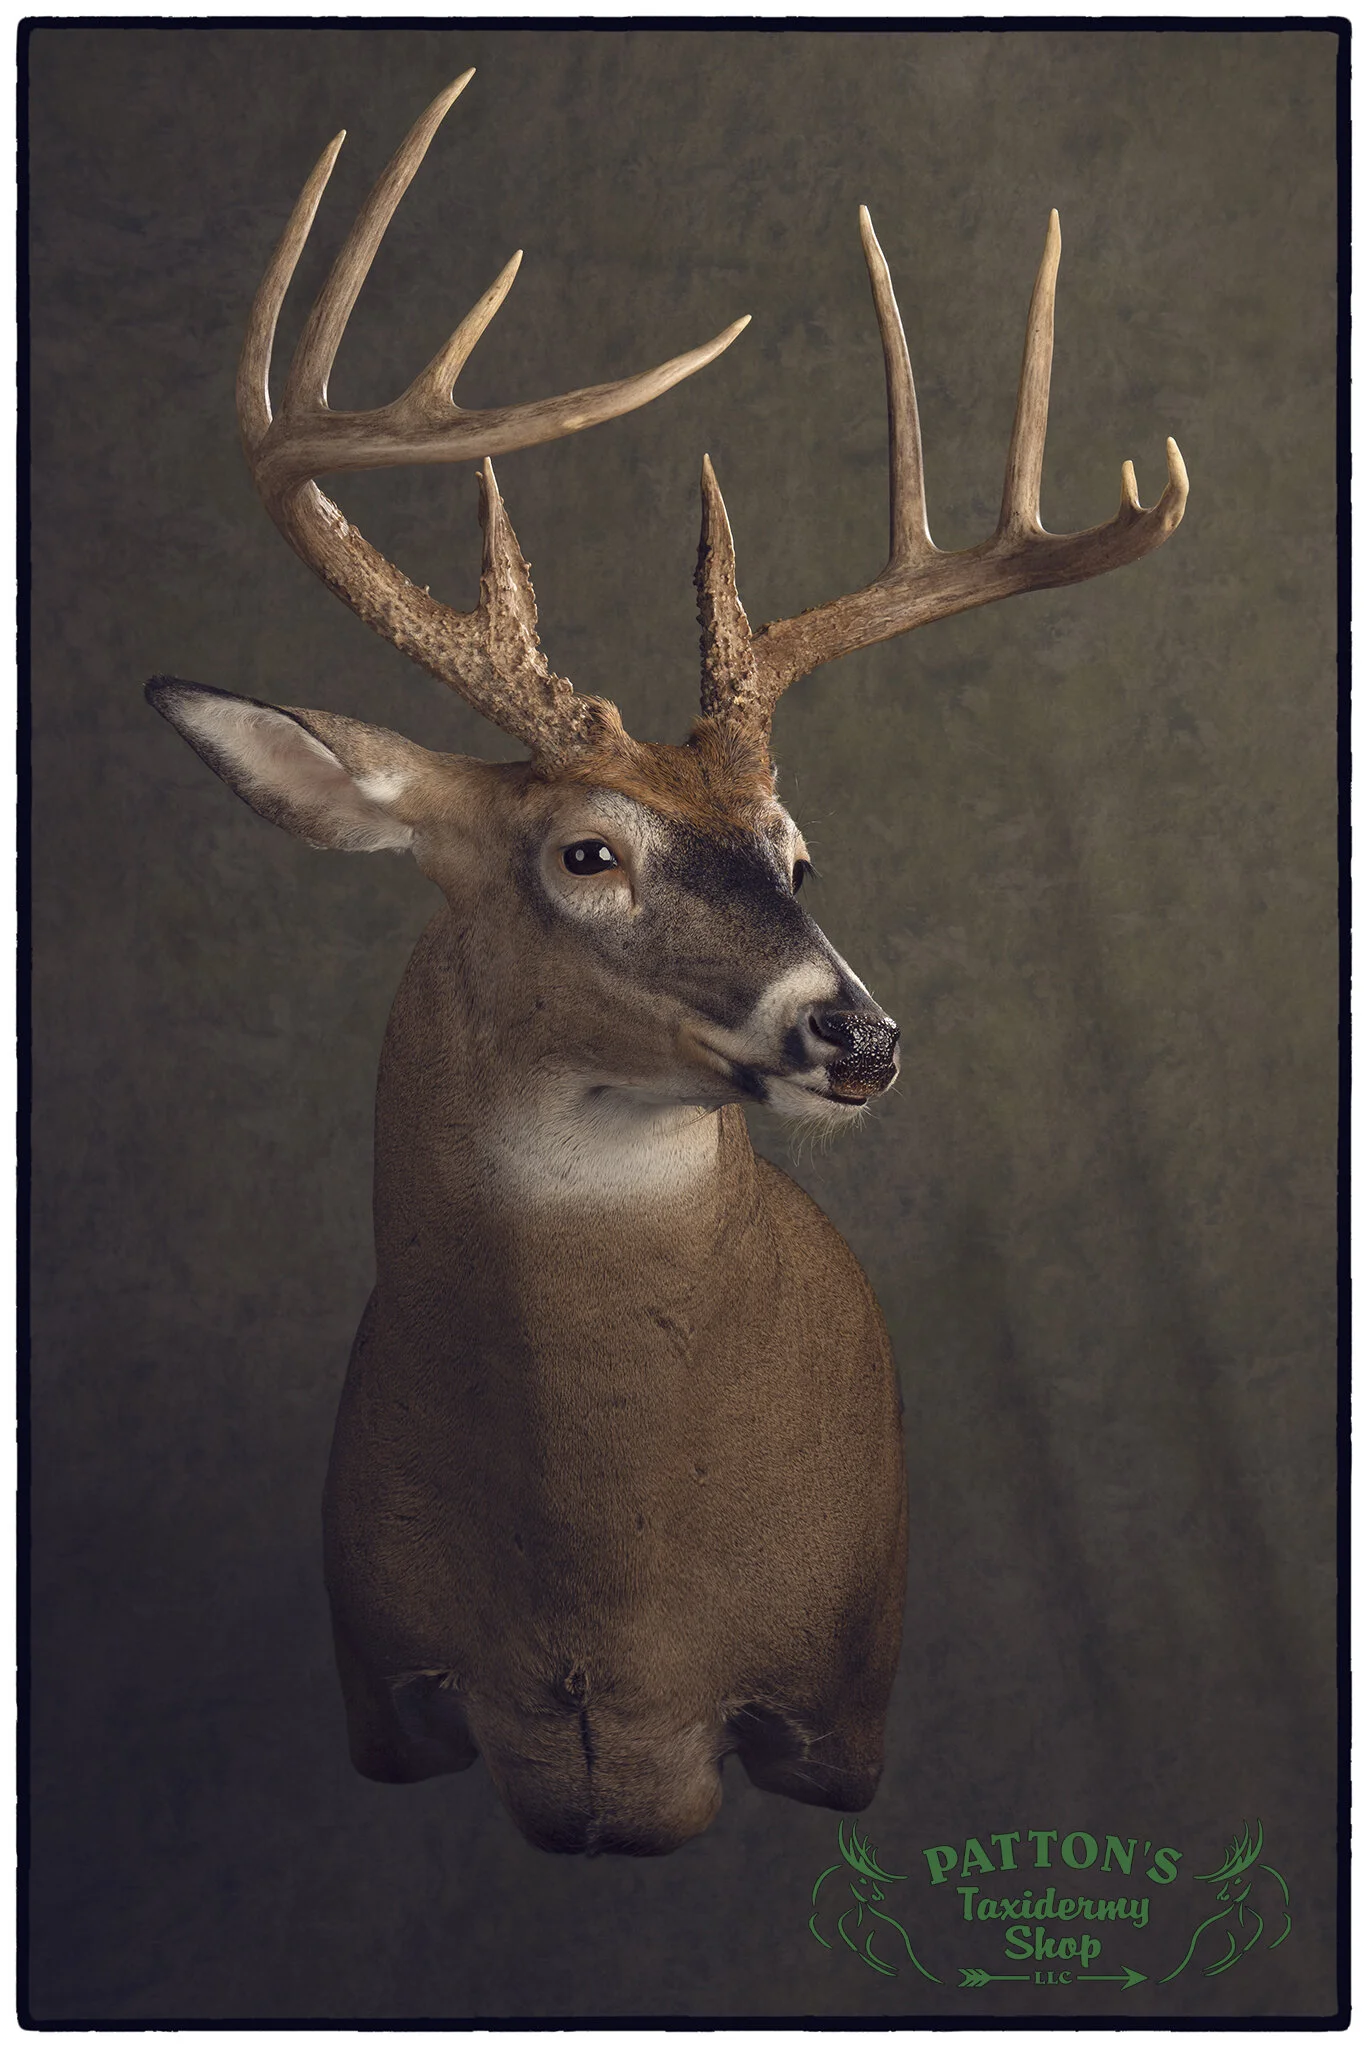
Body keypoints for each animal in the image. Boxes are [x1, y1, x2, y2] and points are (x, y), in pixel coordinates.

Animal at [148, 72, 1187, 1858]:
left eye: (795, 851)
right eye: (588, 854)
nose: (860, 1036)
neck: (604, 1613)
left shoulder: (837, 1705)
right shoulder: (386, 1695)